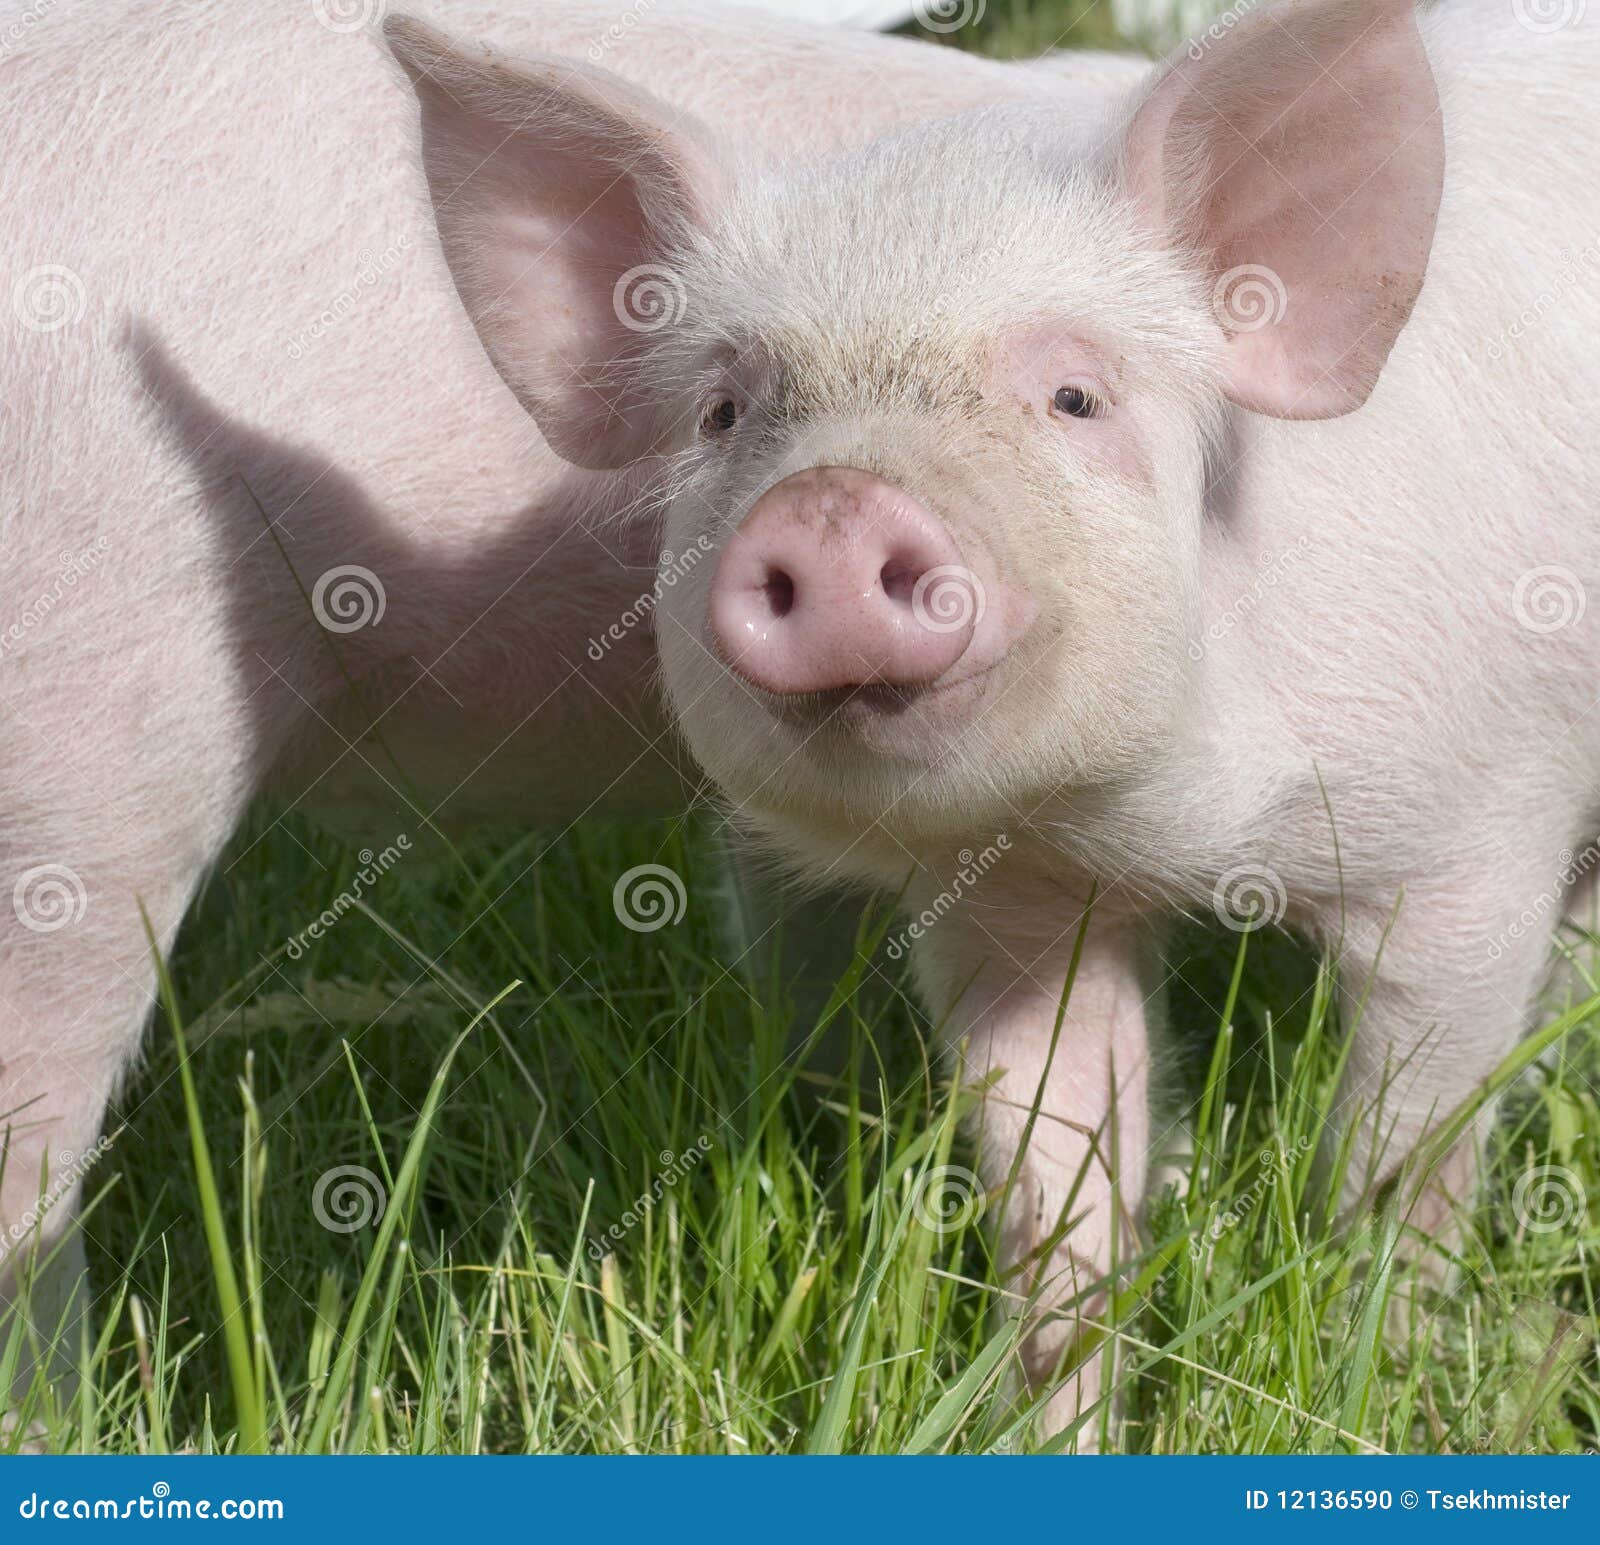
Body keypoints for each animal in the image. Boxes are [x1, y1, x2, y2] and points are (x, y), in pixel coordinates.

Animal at [395, 0, 1600, 1443]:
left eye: (1075, 397)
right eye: (726, 412)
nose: (832, 505)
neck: (1156, 832)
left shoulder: (1476, 843)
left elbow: (1405, 1149)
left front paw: (1394, 1375)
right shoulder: (1013, 910)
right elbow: (1057, 1166)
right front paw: (1053, 1424)